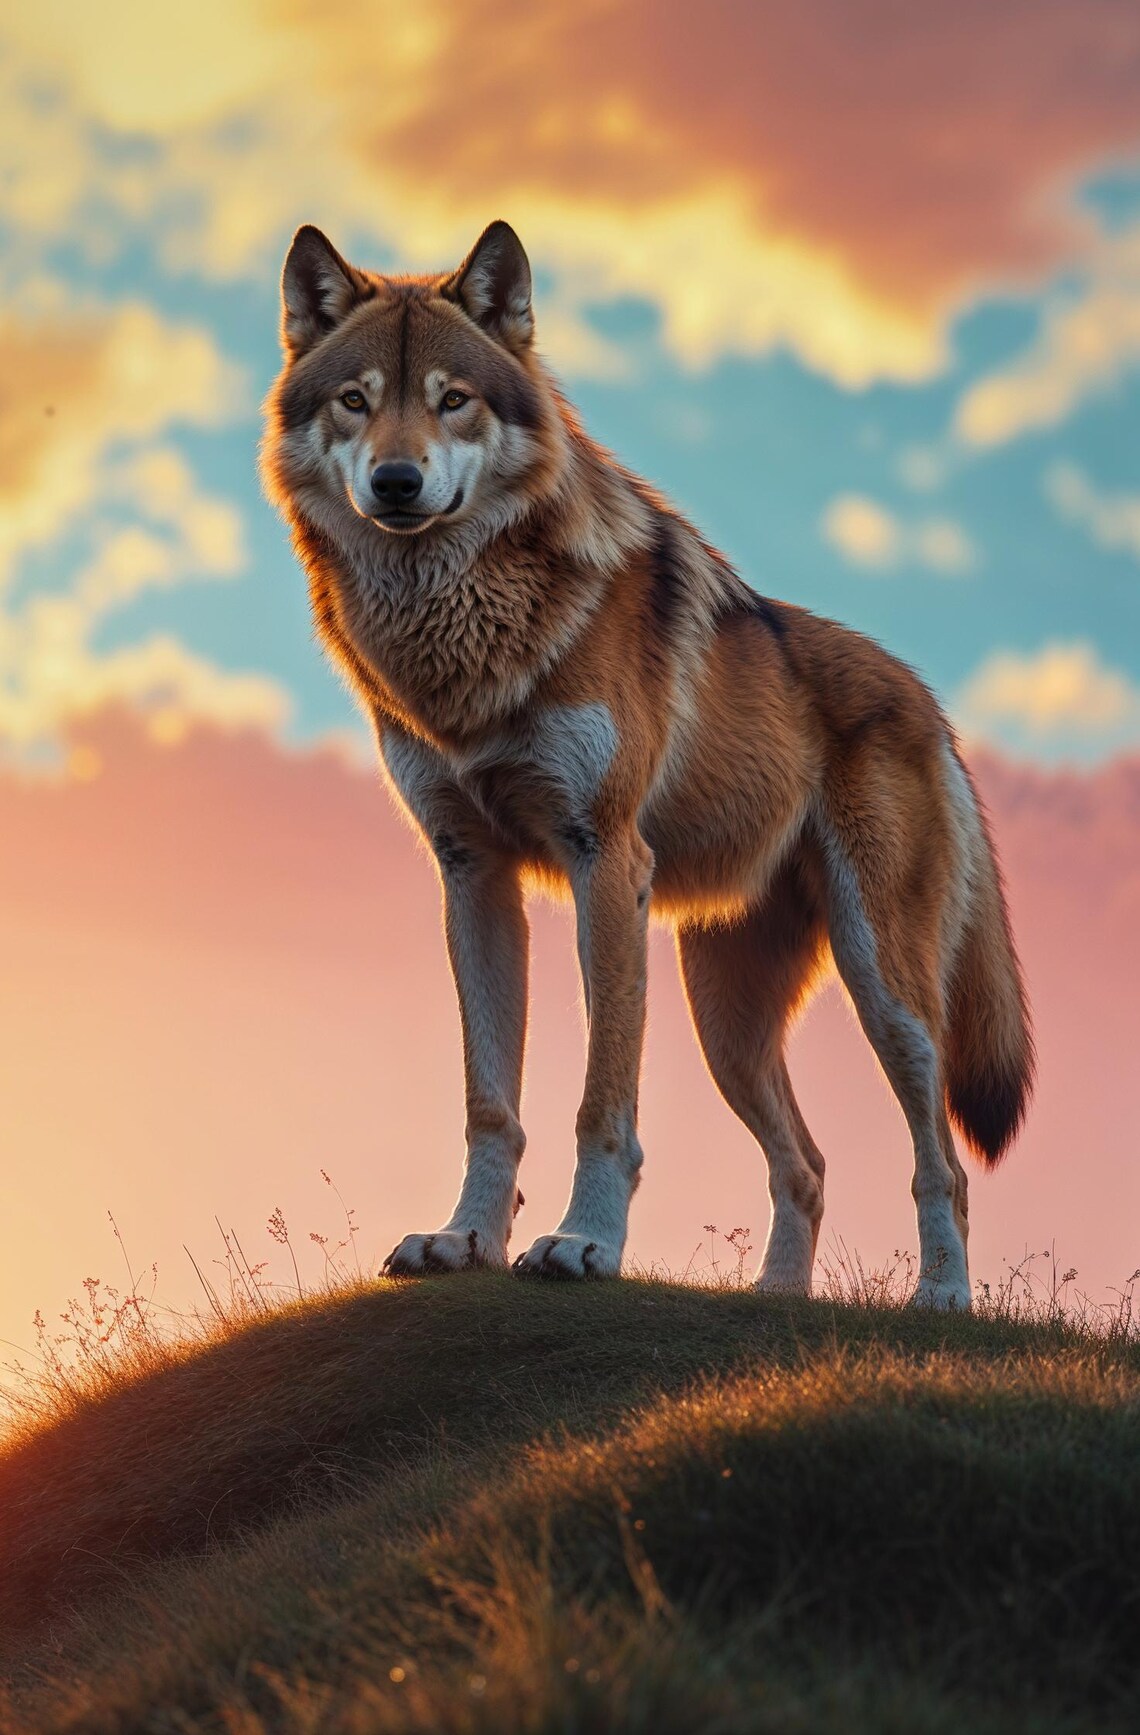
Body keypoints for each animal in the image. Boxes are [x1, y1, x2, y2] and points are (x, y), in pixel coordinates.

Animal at [262, 219, 1033, 1307]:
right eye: (356, 400)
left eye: (454, 399)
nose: (397, 483)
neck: (466, 644)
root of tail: (928, 698)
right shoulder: (472, 874)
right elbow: (490, 1102)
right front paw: (463, 1239)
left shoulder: (605, 861)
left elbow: (603, 1103)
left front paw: (584, 1243)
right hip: (727, 1025)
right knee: (807, 1163)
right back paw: (774, 1300)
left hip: (887, 993)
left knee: (944, 1164)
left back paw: (942, 1299)